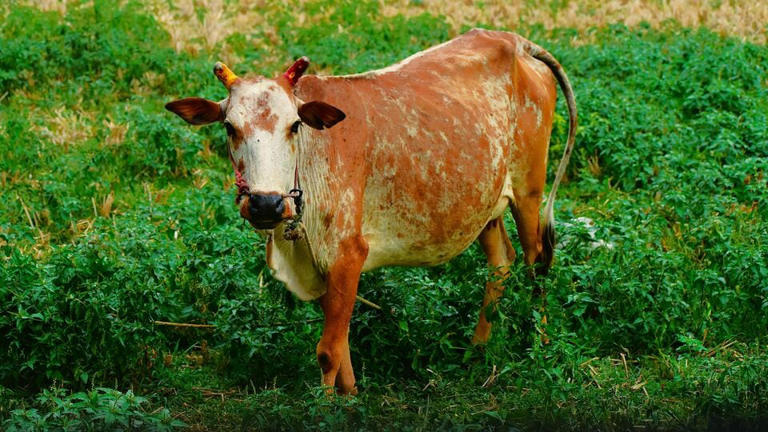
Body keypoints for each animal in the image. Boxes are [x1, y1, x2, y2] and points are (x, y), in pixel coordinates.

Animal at [166, 28, 577, 395]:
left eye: (295, 125)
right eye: (229, 127)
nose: (266, 203)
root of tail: (515, 41)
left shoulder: (349, 253)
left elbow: (328, 351)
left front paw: (326, 408)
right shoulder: (323, 266)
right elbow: (341, 343)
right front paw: (351, 396)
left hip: (528, 190)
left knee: (536, 262)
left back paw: (539, 344)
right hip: (485, 202)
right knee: (501, 262)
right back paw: (476, 350)